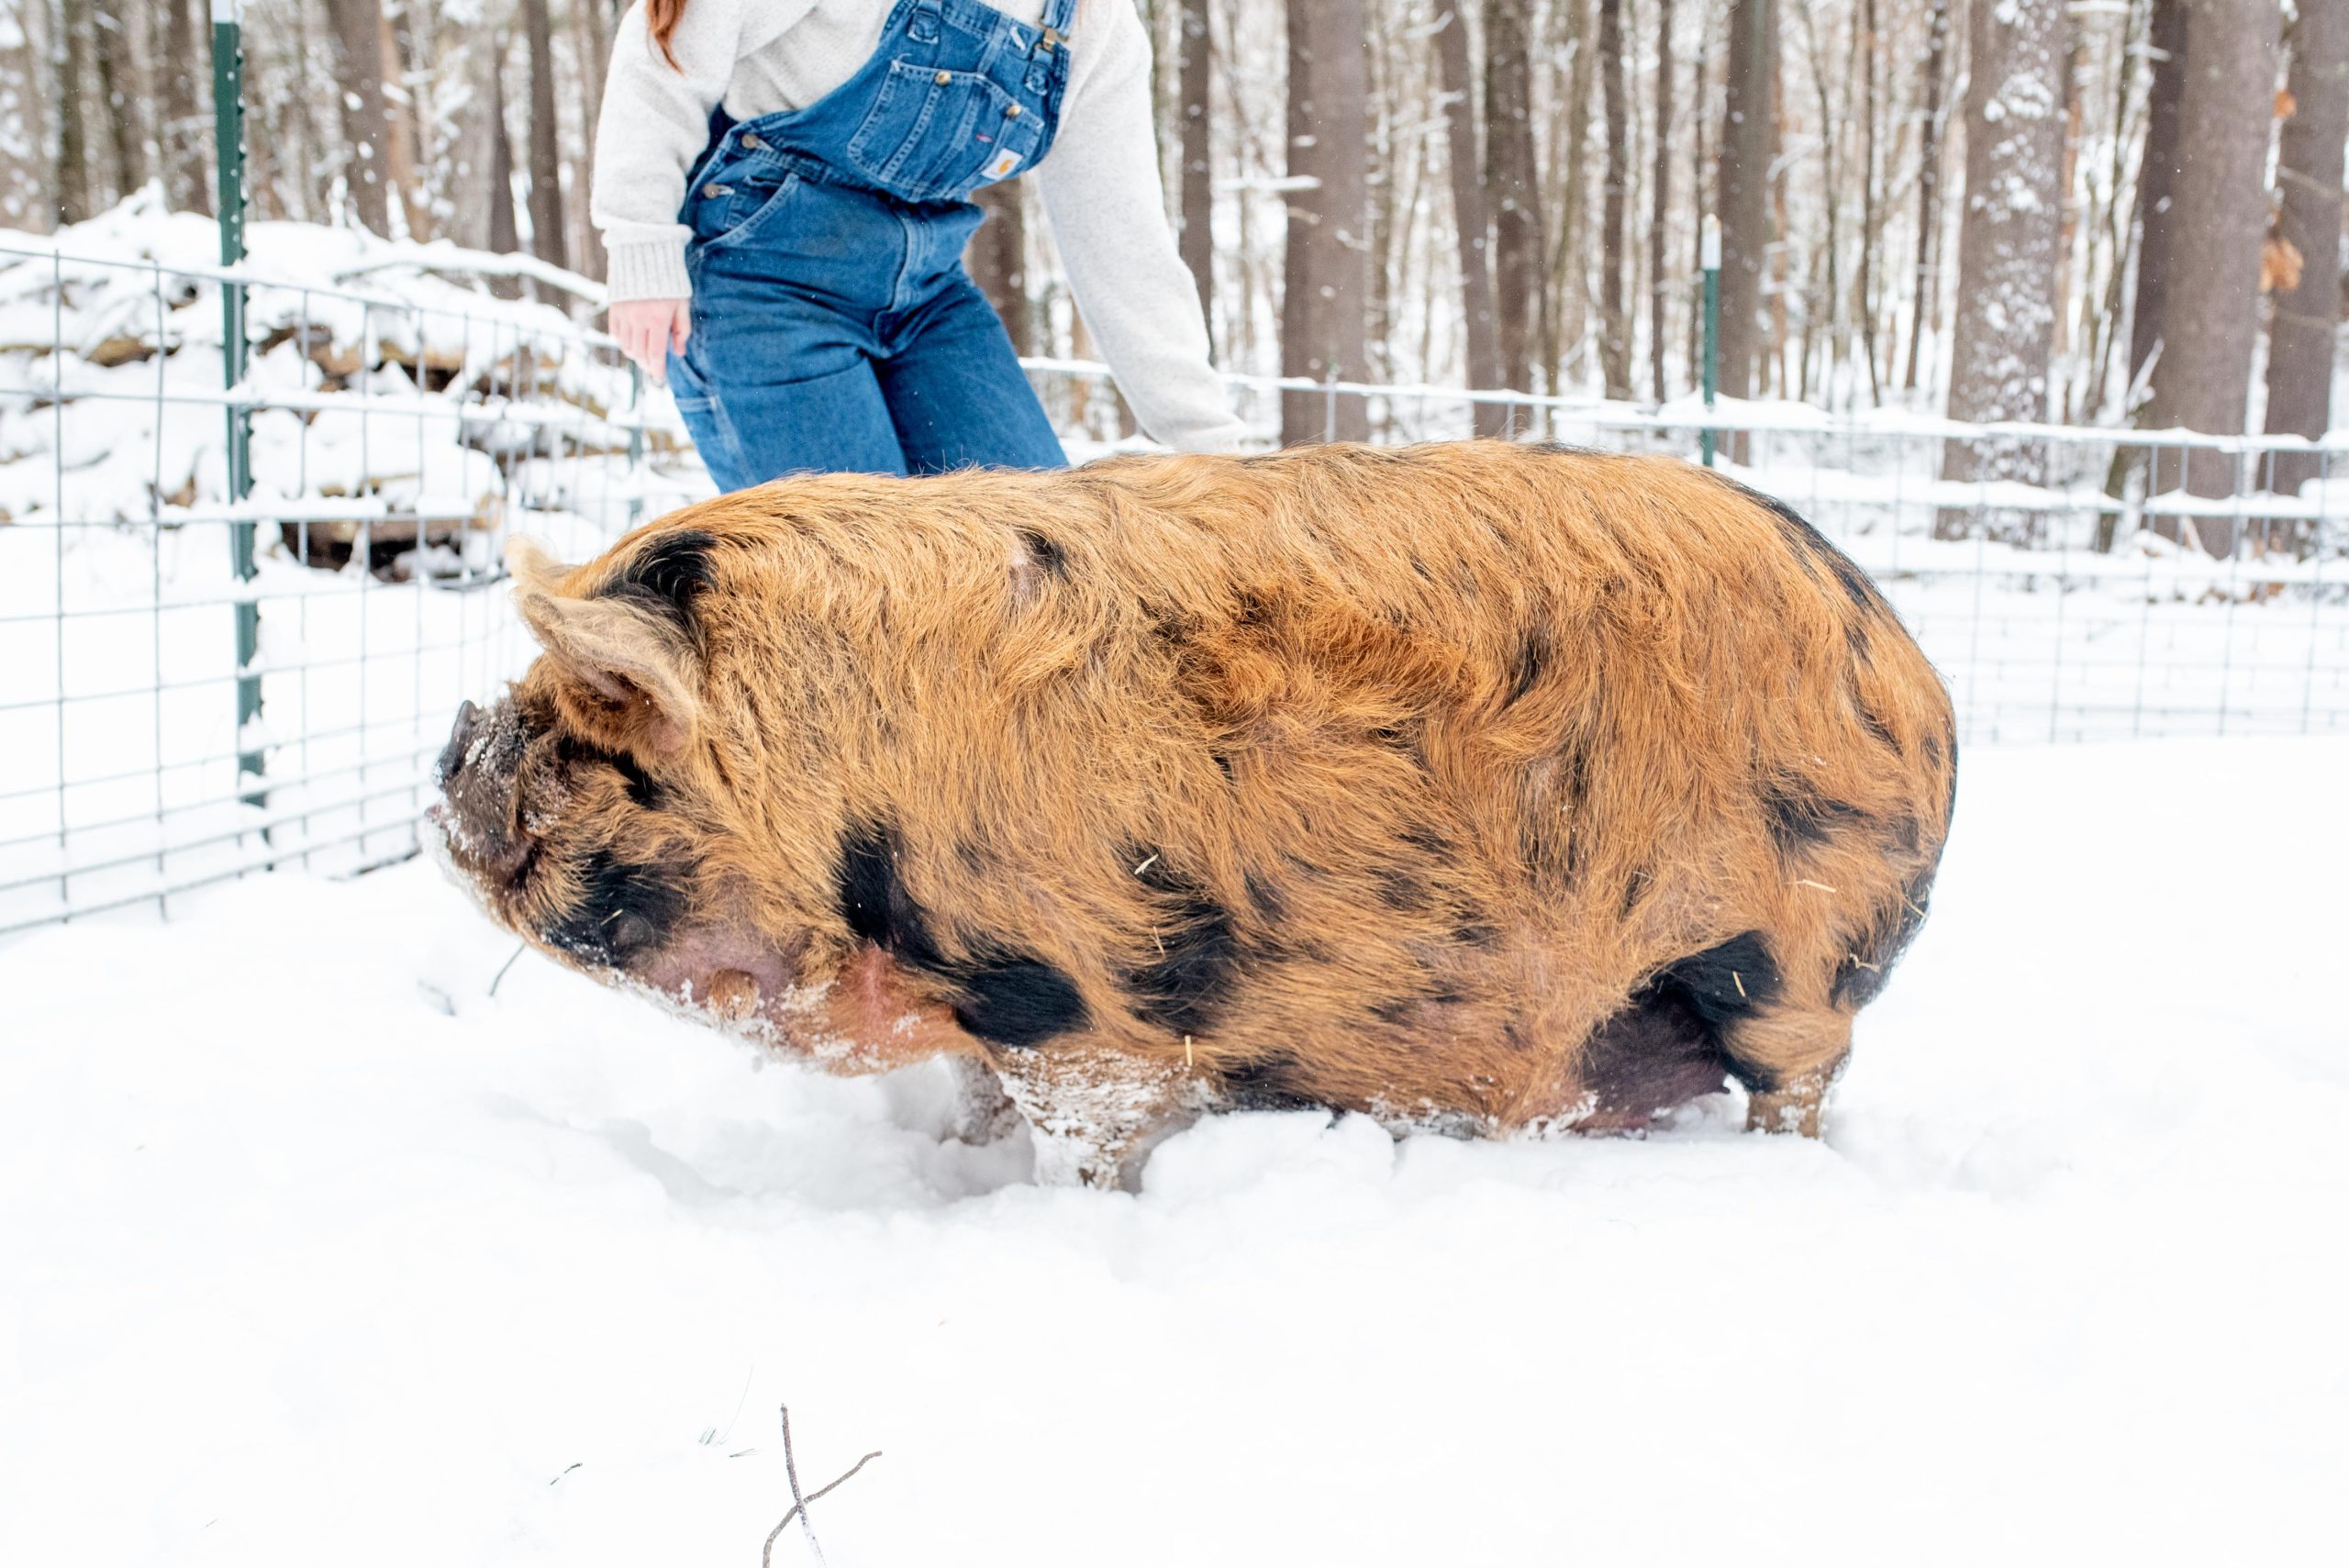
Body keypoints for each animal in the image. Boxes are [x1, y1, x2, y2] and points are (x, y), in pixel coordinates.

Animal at [432, 441, 1956, 1186]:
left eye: (588, 725)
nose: (453, 736)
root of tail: (1912, 667)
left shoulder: (1086, 1013)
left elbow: (1088, 1145)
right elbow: (974, 1103)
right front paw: (959, 1169)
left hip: (1794, 953)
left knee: (1797, 1086)